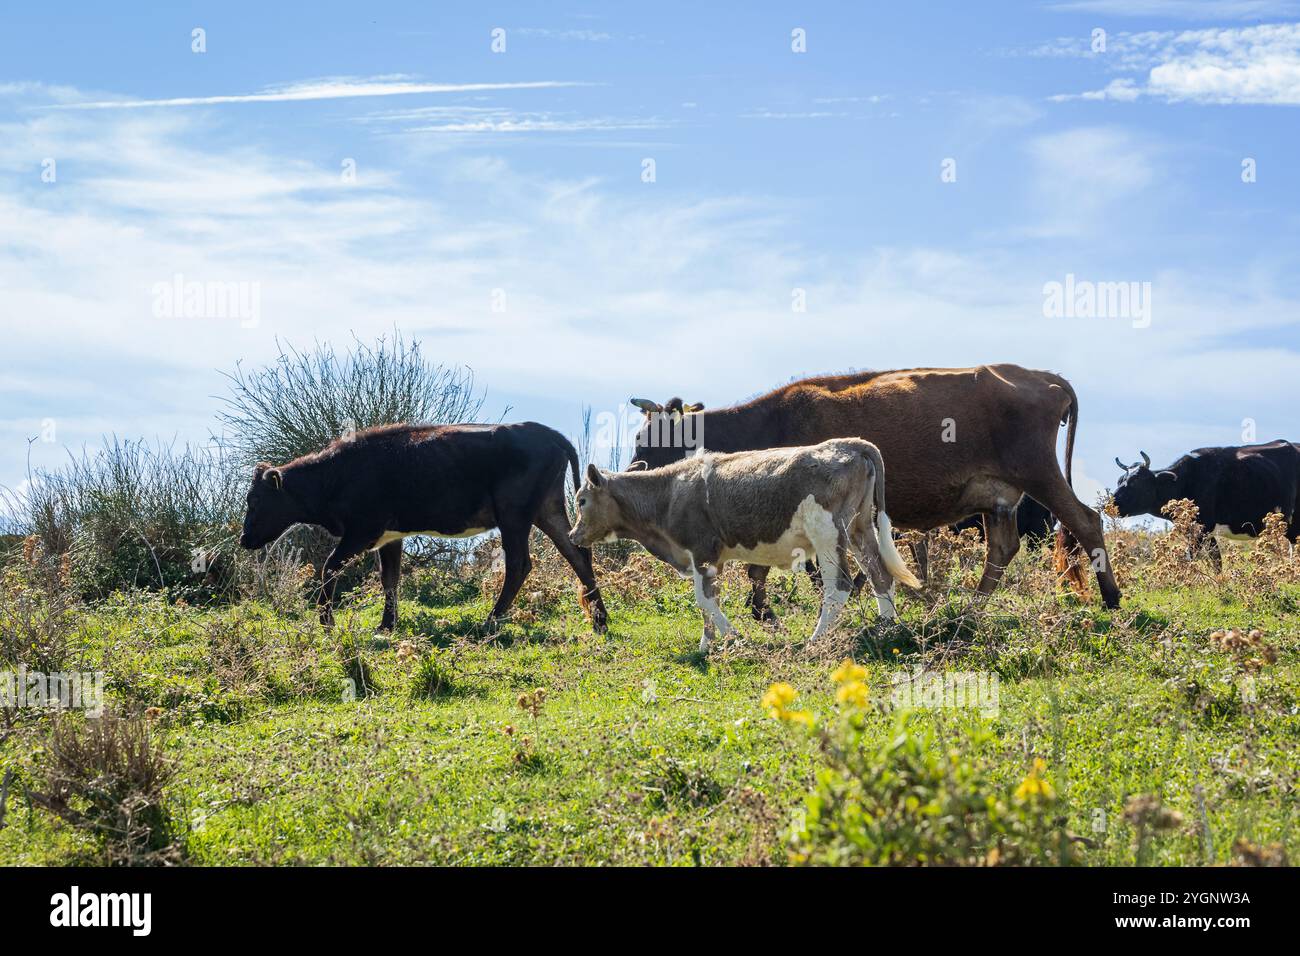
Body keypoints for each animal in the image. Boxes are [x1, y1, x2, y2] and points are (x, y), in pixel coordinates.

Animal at [238, 422, 608, 634]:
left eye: (254, 500)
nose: (244, 539)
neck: (336, 475)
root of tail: (546, 432)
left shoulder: (362, 531)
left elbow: (330, 567)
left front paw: (326, 623)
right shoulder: (390, 537)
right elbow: (389, 579)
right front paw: (386, 625)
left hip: (514, 515)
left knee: (520, 564)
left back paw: (490, 621)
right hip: (547, 509)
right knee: (576, 554)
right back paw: (599, 618)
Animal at [568, 438, 921, 652]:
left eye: (581, 499)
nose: (573, 536)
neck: (668, 494)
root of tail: (851, 444)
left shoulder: (702, 552)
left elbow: (705, 600)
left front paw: (732, 637)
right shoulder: (706, 558)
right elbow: (706, 603)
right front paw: (706, 645)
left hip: (828, 534)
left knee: (840, 587)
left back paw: (816, 639)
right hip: (861, 527)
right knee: (880, 575)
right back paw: (886, 628)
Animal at [628, 365, 1120, 618]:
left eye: (649, 439)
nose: (632, 466)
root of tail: (1041, 376)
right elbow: (763, 566)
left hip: (1039, 474)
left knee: (1085, 521)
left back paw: (1112, 599)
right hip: (1000, 499)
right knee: (1002, 548)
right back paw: (972, 607)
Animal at [1112, 441, 1300, 569]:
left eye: (1136, 482)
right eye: (1120, 480)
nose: (1110, 505)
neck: (1186, 480)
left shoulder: (1203, 527)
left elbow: (1192, 557)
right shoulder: (1201, 530)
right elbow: (1216, 560)